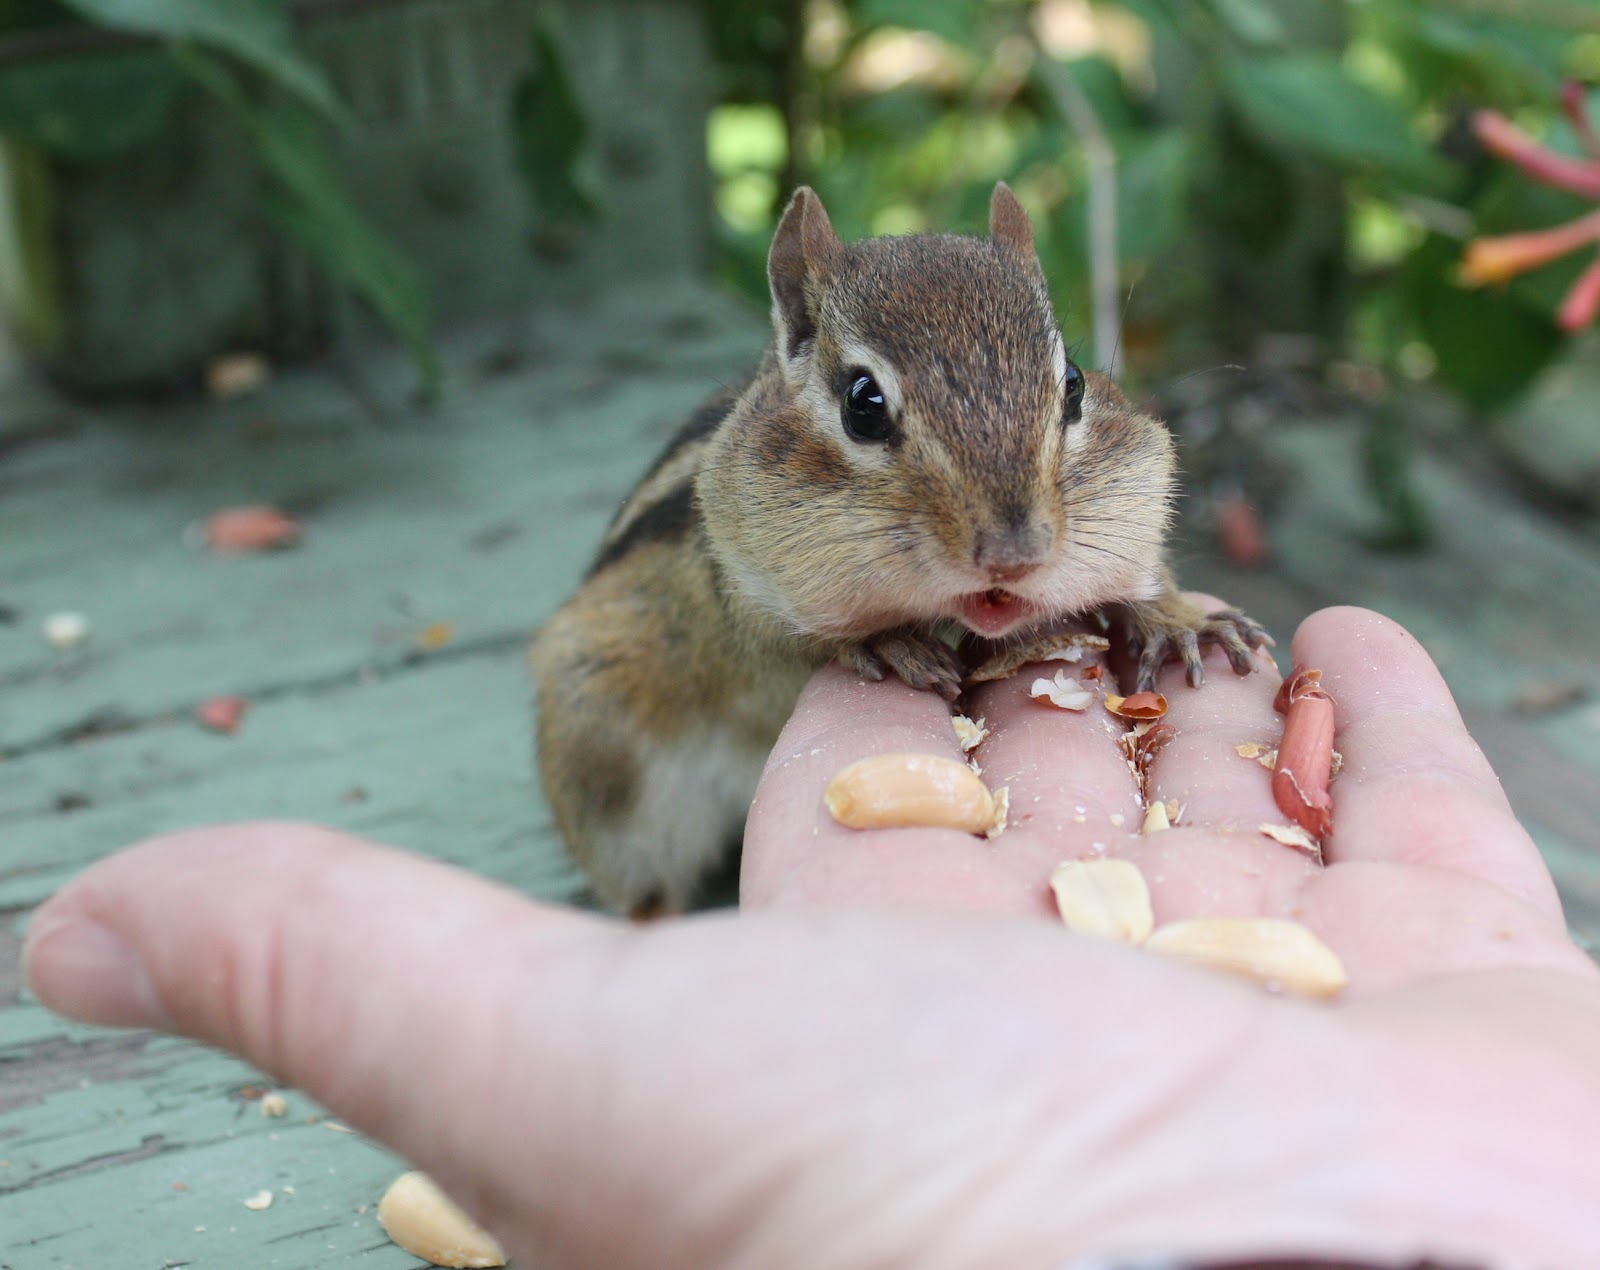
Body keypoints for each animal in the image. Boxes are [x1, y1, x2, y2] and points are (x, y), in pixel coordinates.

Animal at [530, 183, 1270, 916]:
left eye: (1075, 384)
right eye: (863, 403)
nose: (1016, 554)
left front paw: (1176, 620)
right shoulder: (735, 582)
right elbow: (784, 640)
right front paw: (889, 642)